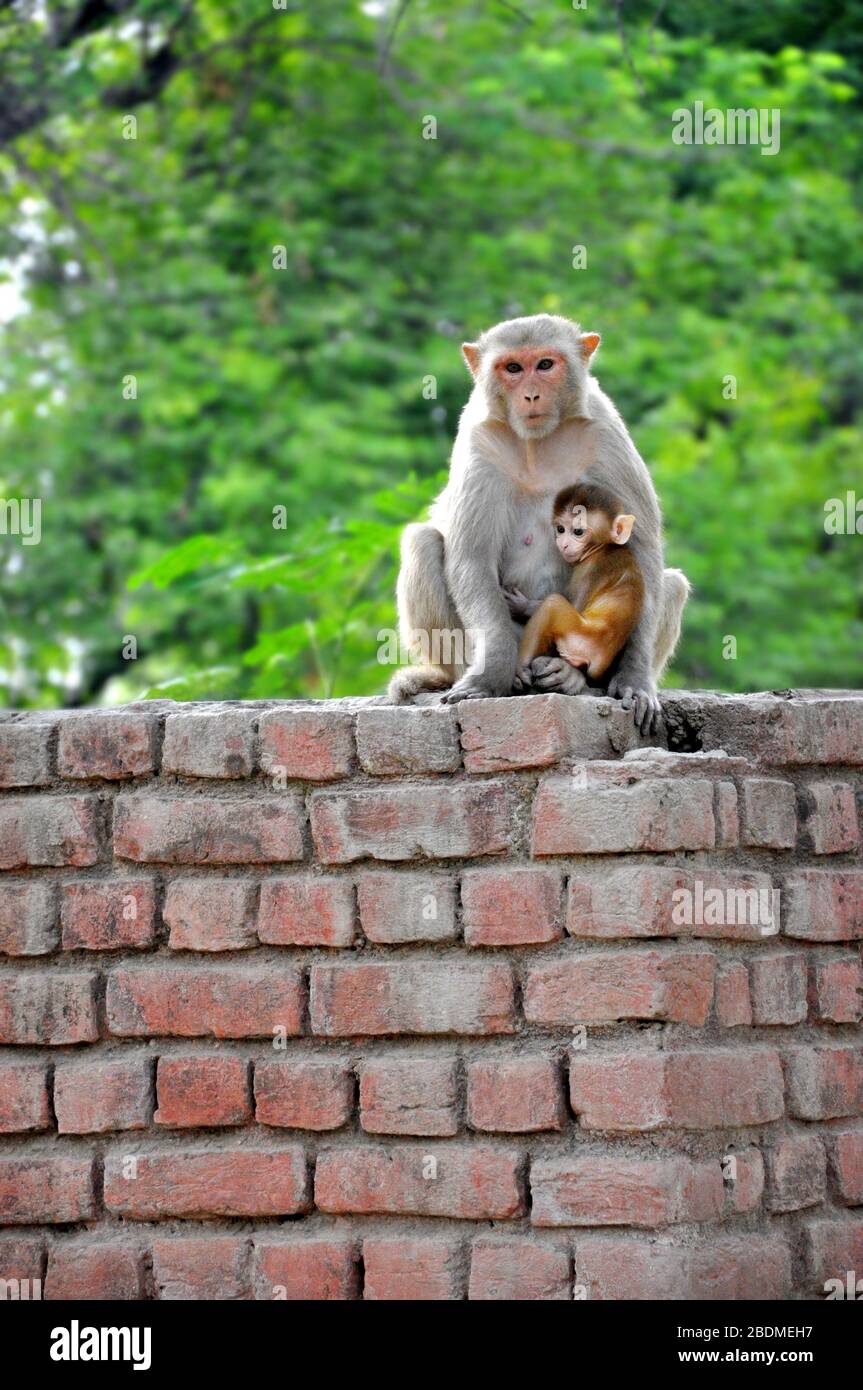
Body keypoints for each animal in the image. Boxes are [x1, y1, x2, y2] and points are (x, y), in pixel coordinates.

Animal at [506, 481, 645, 695]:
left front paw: (523, 606)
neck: (605, 547)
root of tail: (597, 664)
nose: (563, 544)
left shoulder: (591, 571)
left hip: (578, 639)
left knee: (552, 605)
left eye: (578, 532)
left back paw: (521, 671)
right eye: (561, 529)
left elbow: (576, 605)